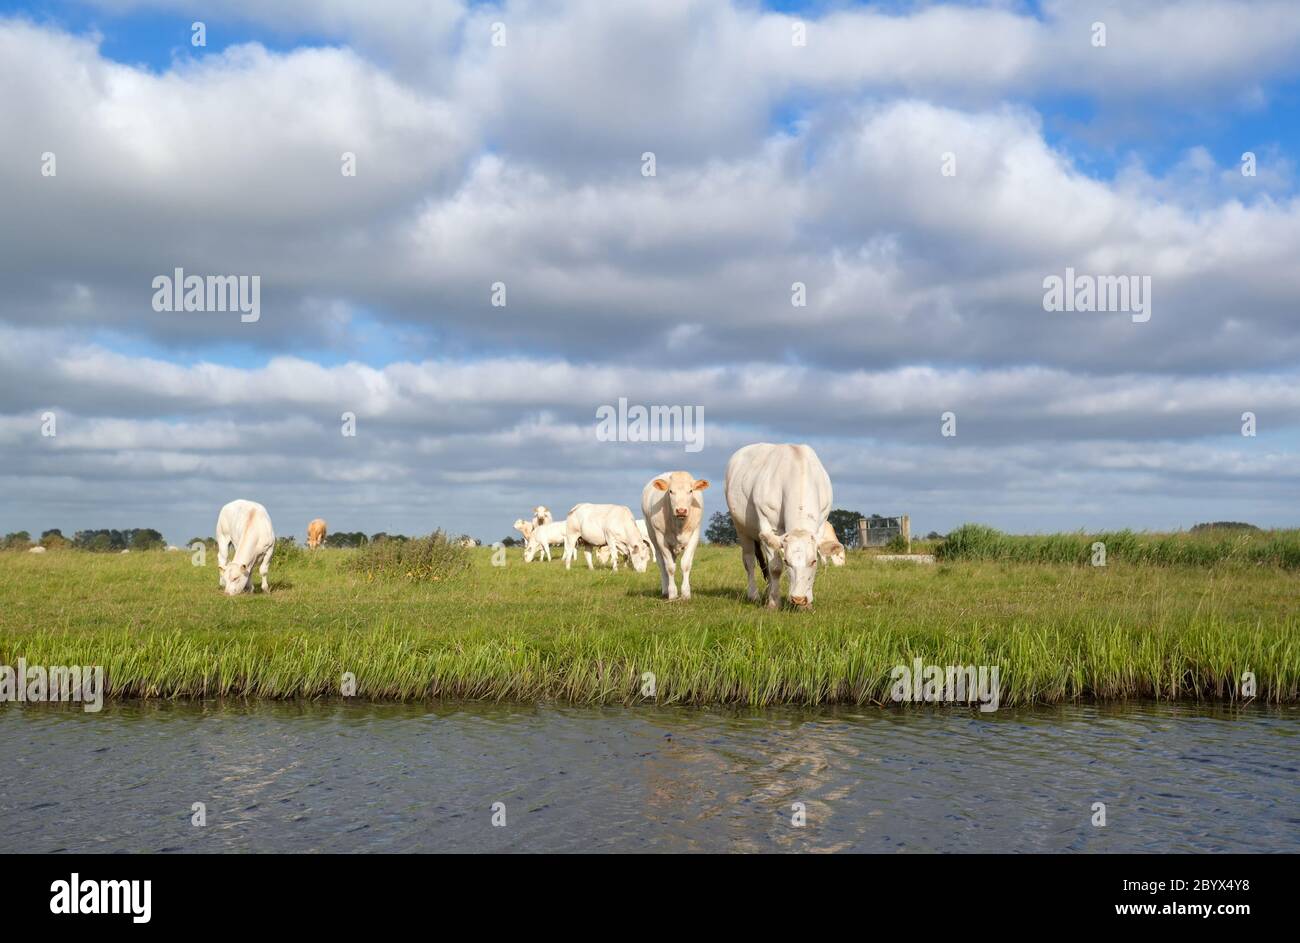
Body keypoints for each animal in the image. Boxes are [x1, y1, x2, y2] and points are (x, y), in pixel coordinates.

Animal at [641, 471, 709, 600]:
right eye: (671, 491)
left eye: (690, 490)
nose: (681, 510)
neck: (679, 525)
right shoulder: (661, 538)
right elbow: (670, 567)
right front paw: (672, 593)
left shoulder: (694, 535)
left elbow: (685, 564)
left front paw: (686, 593)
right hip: (653, 537)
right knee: (662, 564)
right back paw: (665, 590)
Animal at [724, 443, 833, 609]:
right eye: (787, 561)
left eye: (813, 561)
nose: (798, 599)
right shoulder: (770, 528)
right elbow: (775, 567)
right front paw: (774, 603)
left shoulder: (820, 526)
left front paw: (806, 605)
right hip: (741, 528)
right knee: (749, 561)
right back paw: (754, 595)